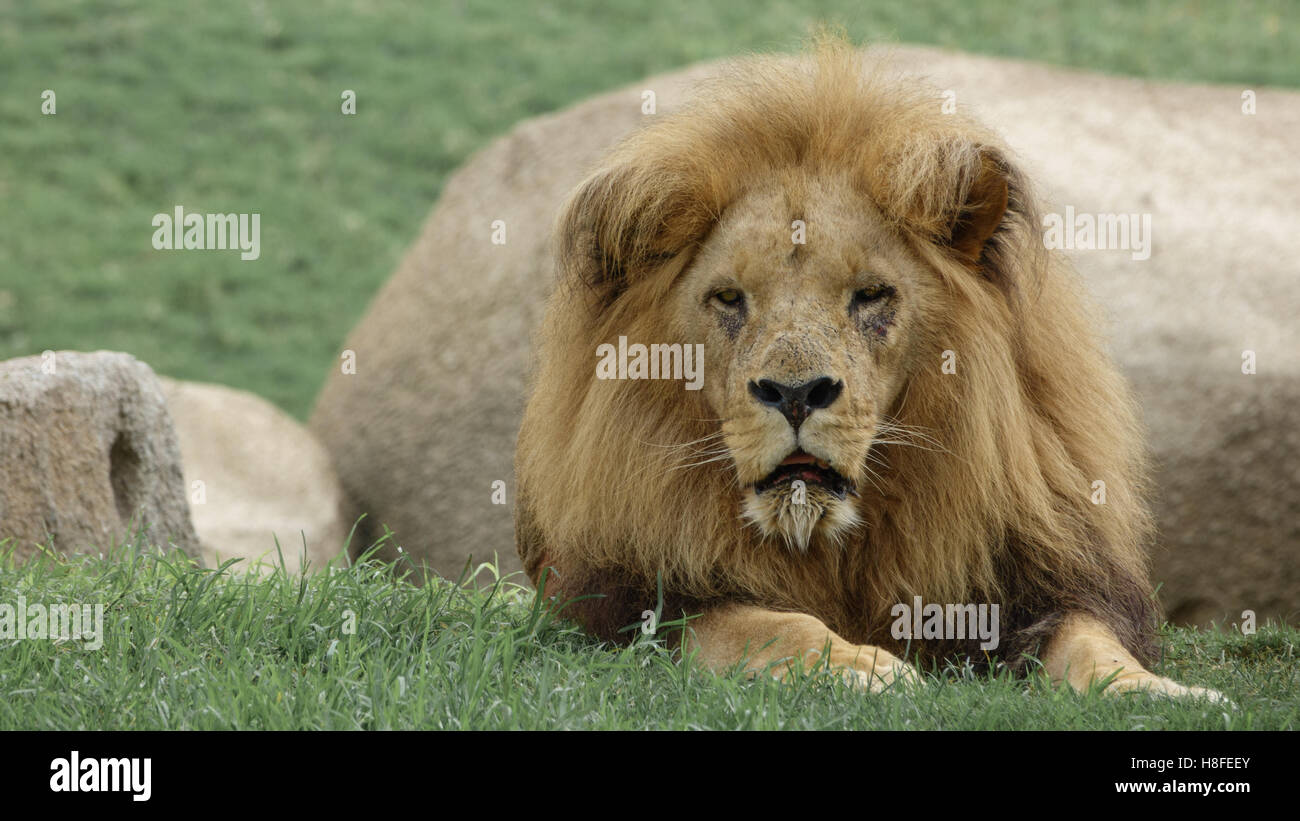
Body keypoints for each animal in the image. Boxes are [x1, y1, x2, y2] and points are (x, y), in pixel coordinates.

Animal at [514, 39, 1223, 699]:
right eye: (729, 299)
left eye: (872, 295)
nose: (796, 394)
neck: (832, 546)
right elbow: (764, 623)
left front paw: (1159, 692)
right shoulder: (630, 601)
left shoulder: (1042, 582)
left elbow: (1090, 642)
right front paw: (861, 667)